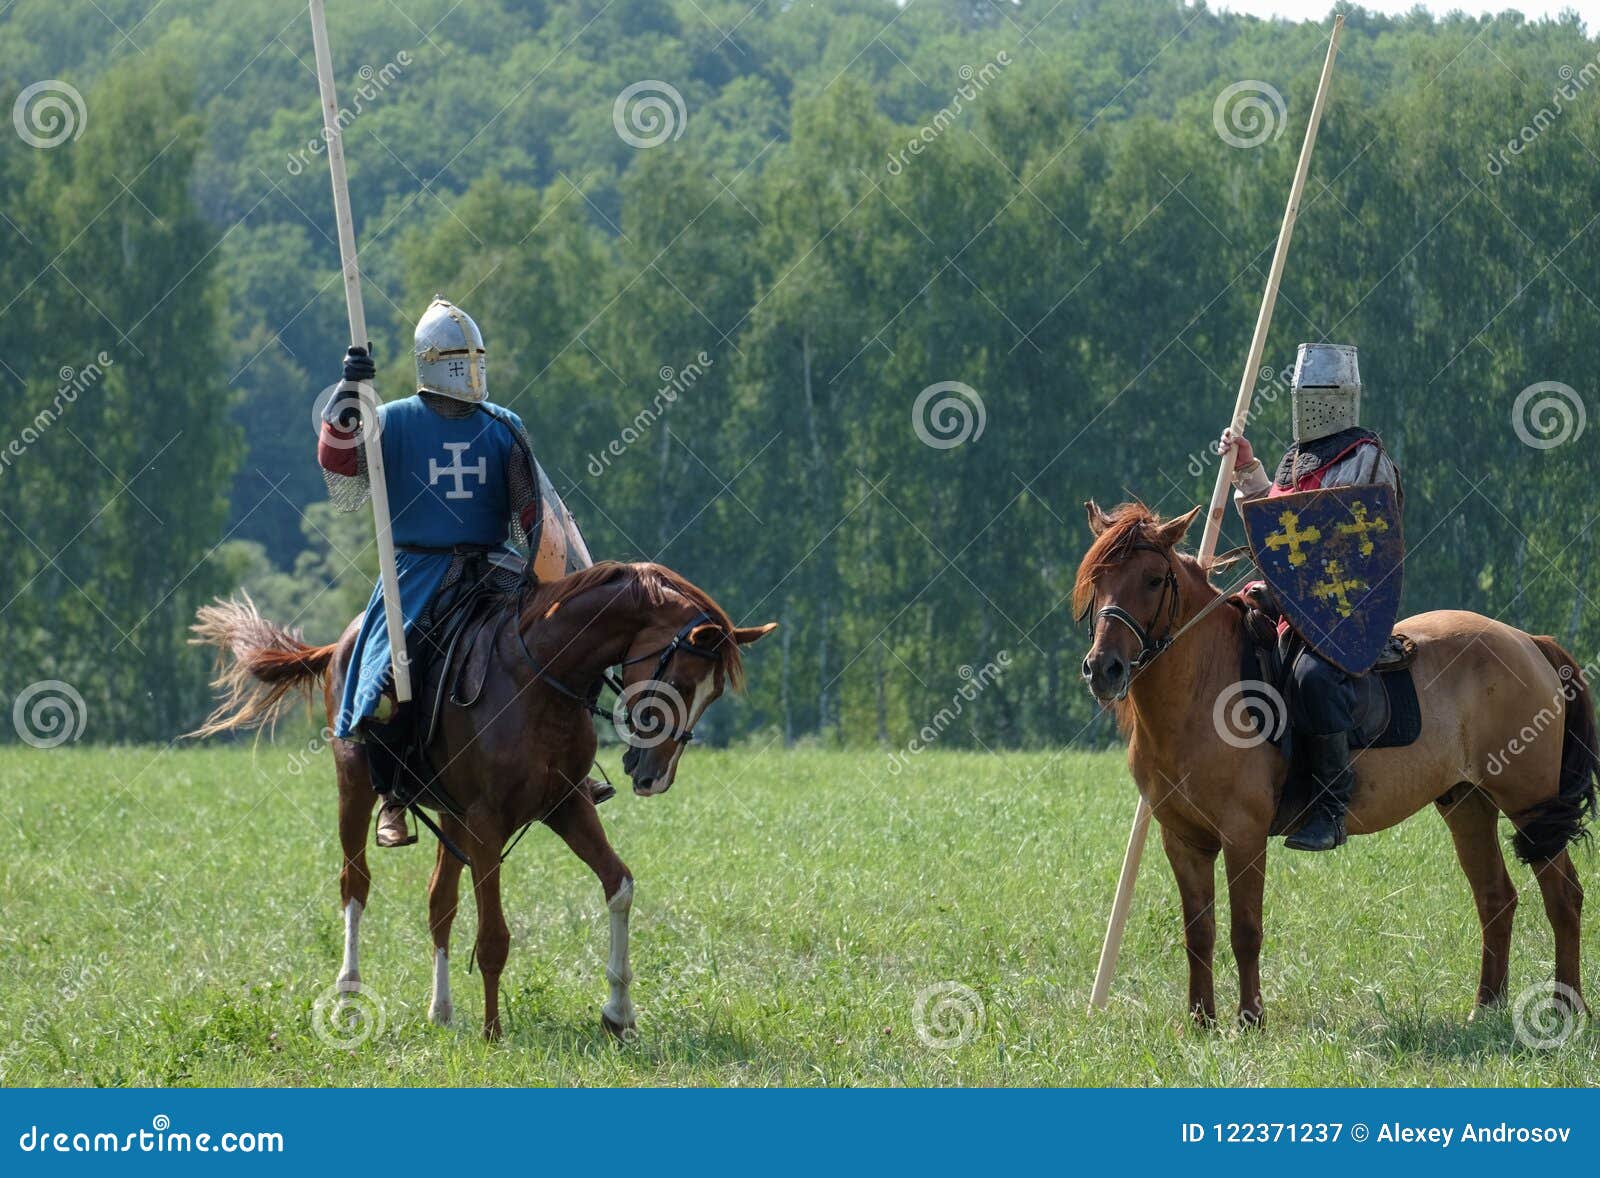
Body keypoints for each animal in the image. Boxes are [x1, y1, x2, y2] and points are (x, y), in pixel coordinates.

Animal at [191, 560, 776, 1039]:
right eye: (682, 681)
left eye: (713, 694)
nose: (655, 777)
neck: (538, 678)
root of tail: (341, 643)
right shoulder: (487, 823)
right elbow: (493, 933)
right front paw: (494, 1033)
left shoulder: (566, 806)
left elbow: (619, 885)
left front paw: (618, 1015)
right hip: (354, 788)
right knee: (354, 886)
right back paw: (350, 999)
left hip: (450, 817)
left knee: (439, 904)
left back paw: (441, 1011)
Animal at [1075, 500, 1595, 1027]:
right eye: (1098, 579)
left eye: (1154, 579)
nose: (1104, 669)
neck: (1205, 688)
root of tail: (1528, 642)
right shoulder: (1183, 840)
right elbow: (1199, 933)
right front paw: (1202, 1022)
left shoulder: (1243, 834)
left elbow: (1246, 929)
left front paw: (1250, 1020)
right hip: (1468, 804)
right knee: (1495, 897)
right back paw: (1485, 1008)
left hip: (1530, 803)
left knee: (1563, 897)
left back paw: (1566, 1006)